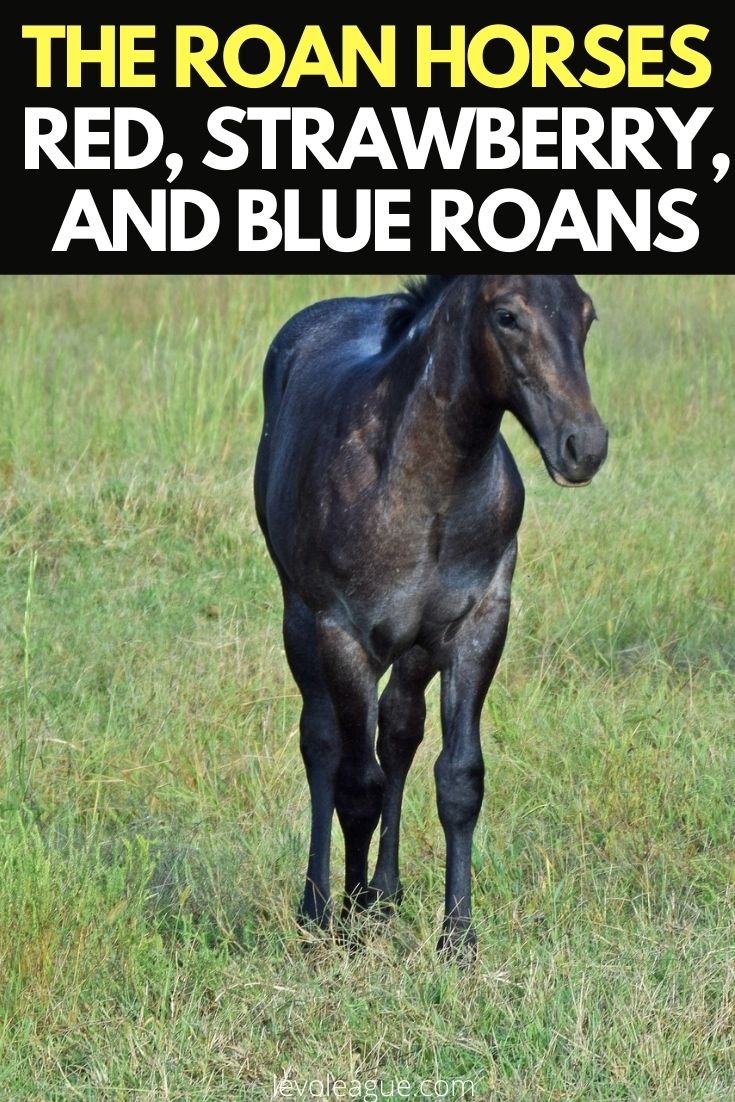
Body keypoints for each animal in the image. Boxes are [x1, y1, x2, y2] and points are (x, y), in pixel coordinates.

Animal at [254, 274, 608, 957]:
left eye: (587, 314)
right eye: (507, 316)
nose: (585, 447)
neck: (428, 490)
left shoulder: (478, 625)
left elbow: (459, 779)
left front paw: (458, 937)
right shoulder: (346, 635)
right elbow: (355, 784)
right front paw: (347, 925)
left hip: (416, 647)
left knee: (398, 731)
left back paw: (386, 894)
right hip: (300, 618)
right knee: (323, 742)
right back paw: (320, 907)